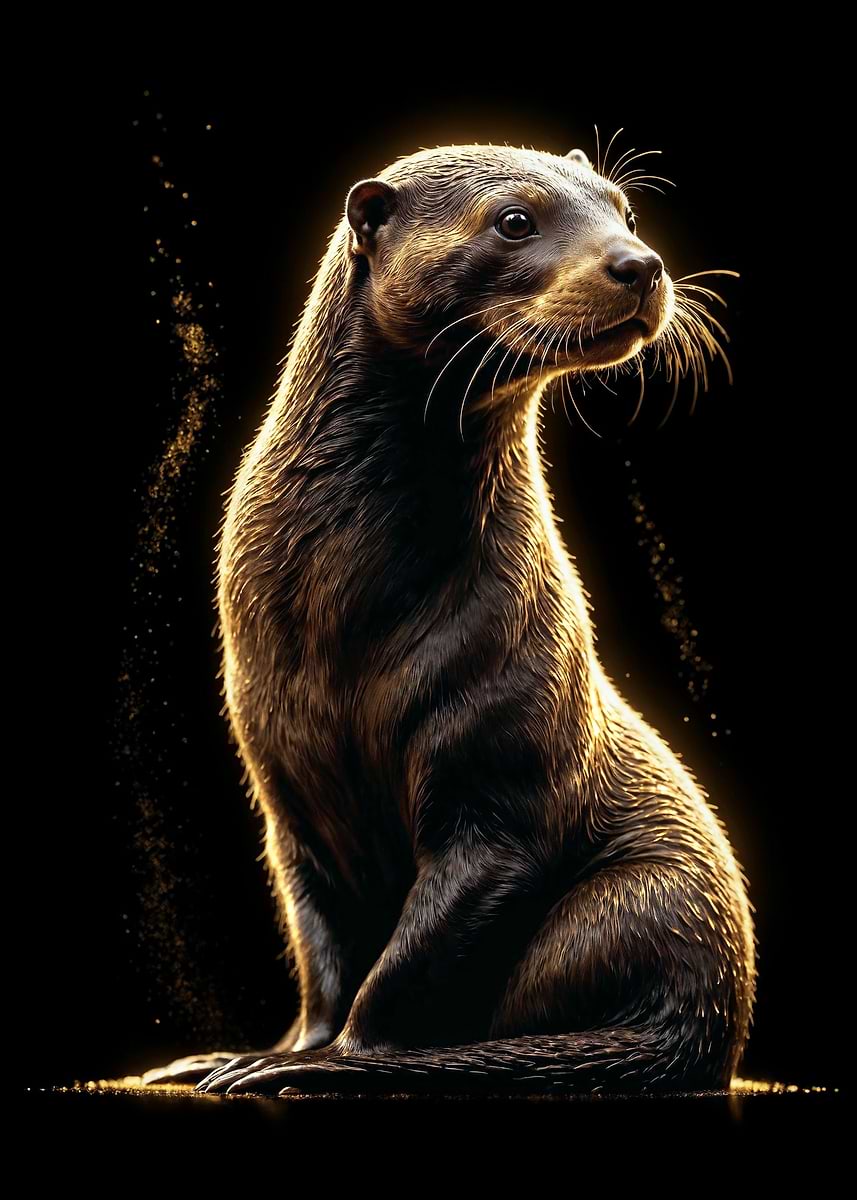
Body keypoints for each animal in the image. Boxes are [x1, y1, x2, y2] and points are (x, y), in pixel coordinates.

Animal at [142, 141, 756, 1096]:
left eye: (625, 210)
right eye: (514, 219)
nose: (640, 264)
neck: (347, 625)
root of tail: (714, 1013)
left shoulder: (500, 762)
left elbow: (408, 962)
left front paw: (301, 1064)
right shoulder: (285, 799)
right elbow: (320, 949)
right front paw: (279, 1049)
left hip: (641, 891)